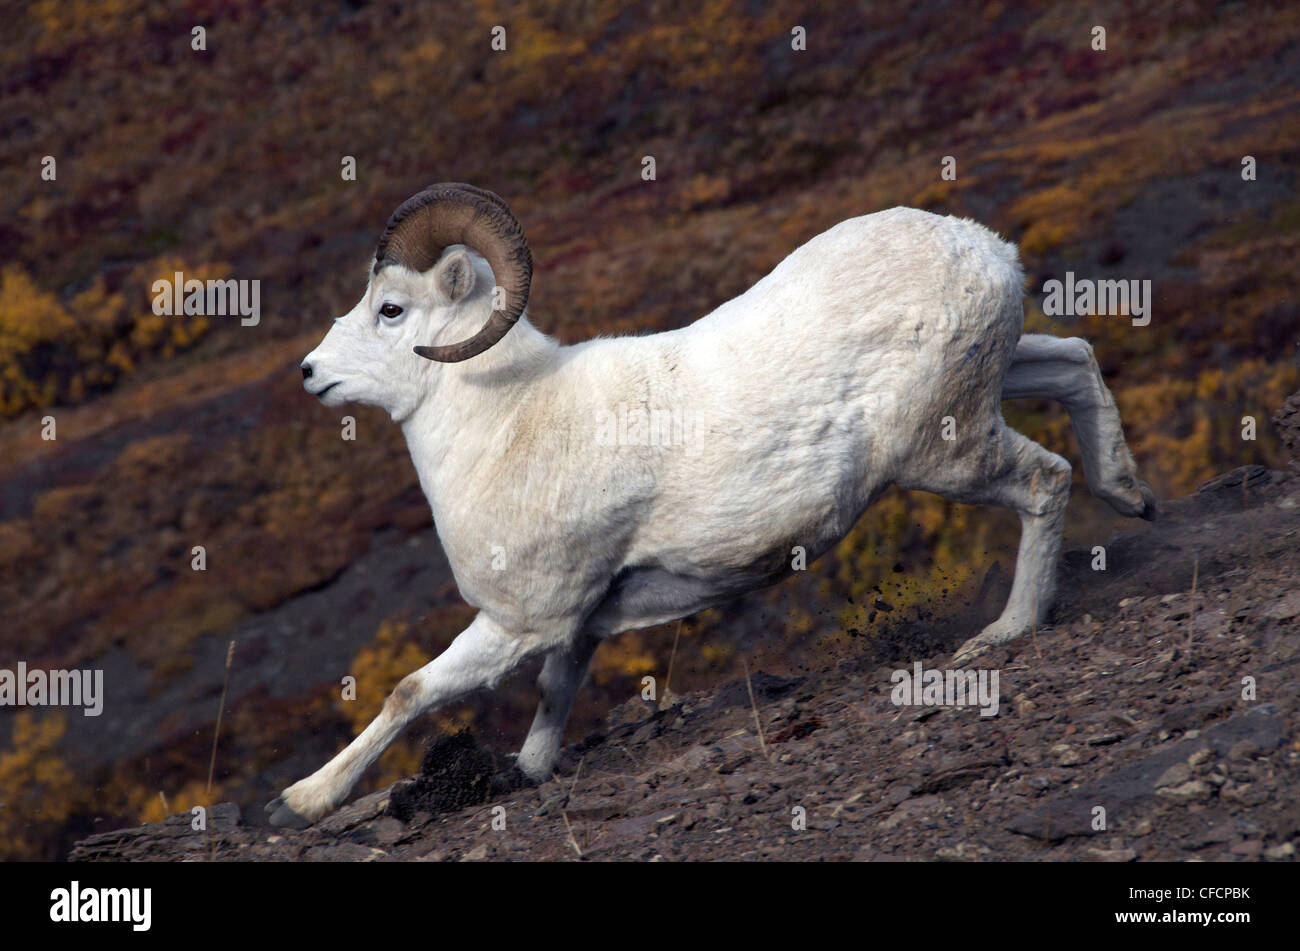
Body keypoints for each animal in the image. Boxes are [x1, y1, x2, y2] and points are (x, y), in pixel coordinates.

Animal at [271, 182, 1156, 827]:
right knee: (1075, 360)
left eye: (390, 309)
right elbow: (552, 703)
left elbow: (411, 690)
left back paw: (1006, 630)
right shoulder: (578, 624)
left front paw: (304, 800)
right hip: (994, 389)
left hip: (947, 449)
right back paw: (1132, 494)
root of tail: (986, 252)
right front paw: (526, 771)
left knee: (1045, 480)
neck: (508, 418)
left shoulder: (519, 622)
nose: (311, 372)